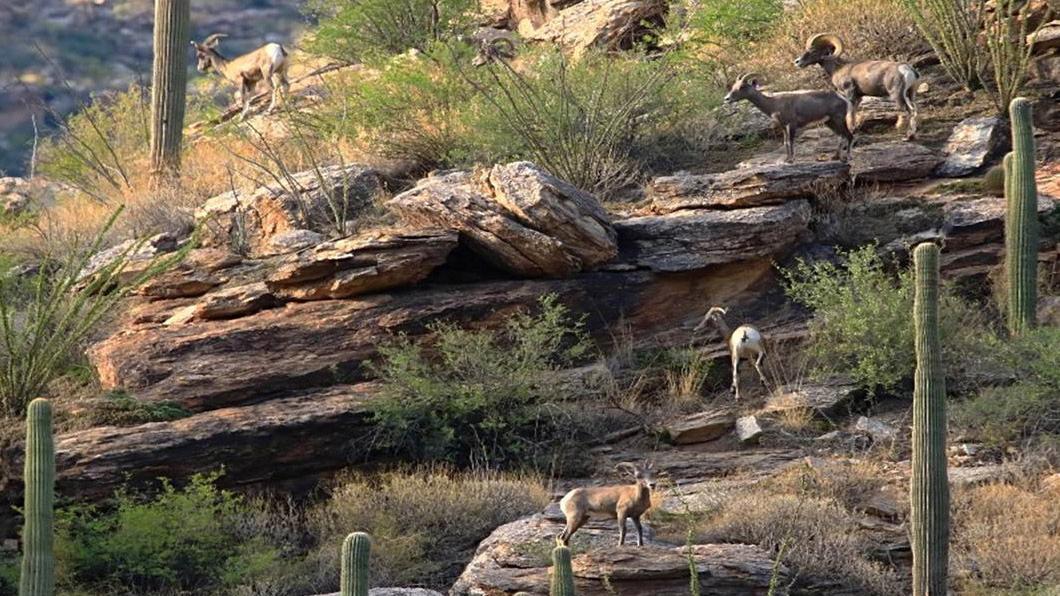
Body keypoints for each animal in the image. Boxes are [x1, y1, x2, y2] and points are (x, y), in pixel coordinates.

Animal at [724, 72, 854, 164]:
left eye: (742, 86)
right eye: (734, 86)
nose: (727, 98)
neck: (773, 104)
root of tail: (843, 98)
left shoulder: (791, 125)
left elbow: (790, 141)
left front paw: (791, 160)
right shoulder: (783, 126)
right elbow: (785, 142)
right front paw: (786, 160)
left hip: (838, 119)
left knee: (848, 135)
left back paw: (848, 157)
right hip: (830, 122)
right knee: (841, 135)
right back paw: (835, 157)